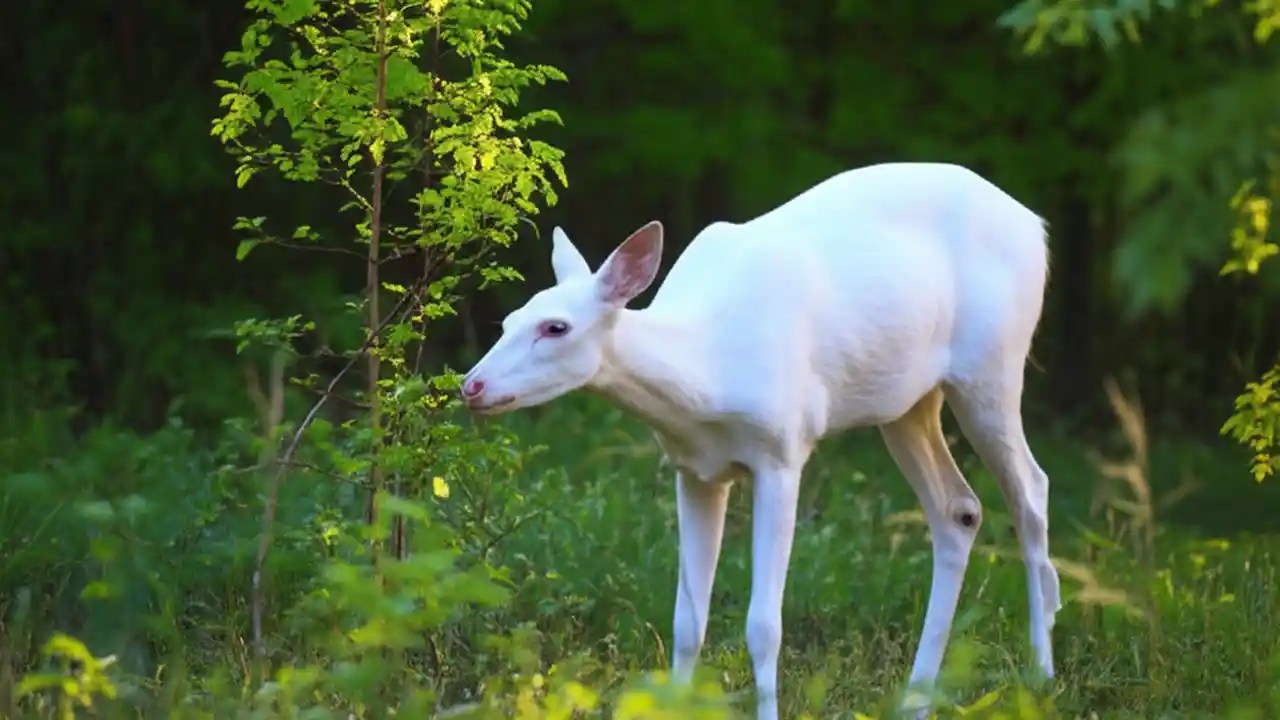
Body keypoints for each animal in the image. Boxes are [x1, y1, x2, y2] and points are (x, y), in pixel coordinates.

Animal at [460, 162, 1061, 719]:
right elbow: (687, 619)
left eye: (555, 327)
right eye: (508, 320)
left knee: (1031, 490)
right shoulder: (694, 471)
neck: (707, 370)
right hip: (906, 402)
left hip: (993, 366)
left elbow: (764, 625)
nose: (471, 385)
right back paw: (916, 697)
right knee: (959, 509)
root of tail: (1036, 225)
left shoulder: (783, 451)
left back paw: (1040, 675)